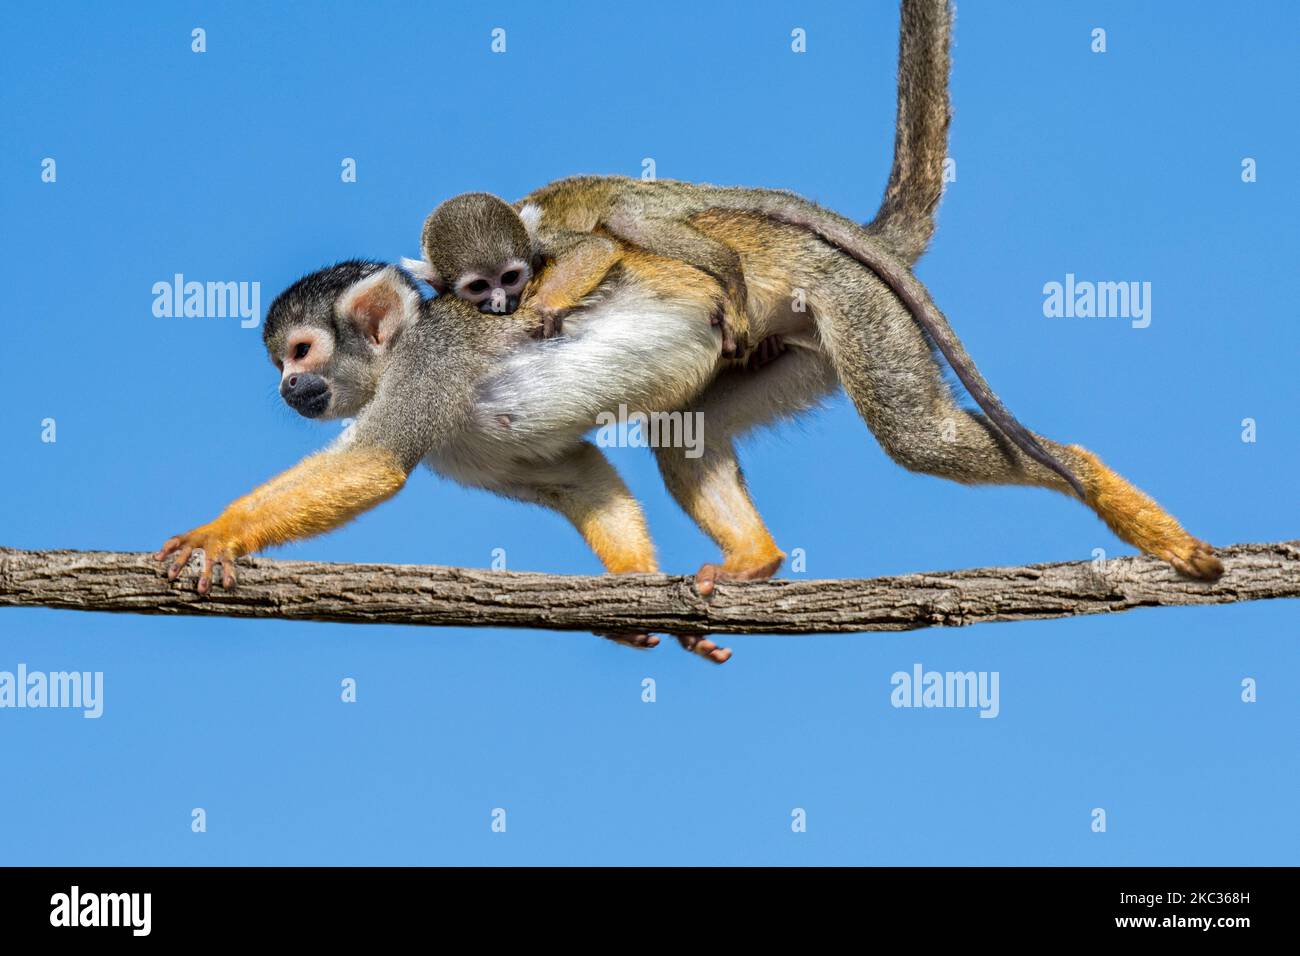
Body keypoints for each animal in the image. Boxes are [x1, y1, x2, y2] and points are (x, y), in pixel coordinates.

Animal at [158, 0, 1223, 666]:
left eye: (303, 356)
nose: (288, 389)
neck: (395, 358)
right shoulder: (467, 437)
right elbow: (577, 475)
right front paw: (634, 595)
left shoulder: (430, 365)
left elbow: (374, 465)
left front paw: (214, 537)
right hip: (781, 346)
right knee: (688, 430)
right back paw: (755, 561)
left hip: (850, 306)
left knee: (919, 436)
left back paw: (1103, 488)